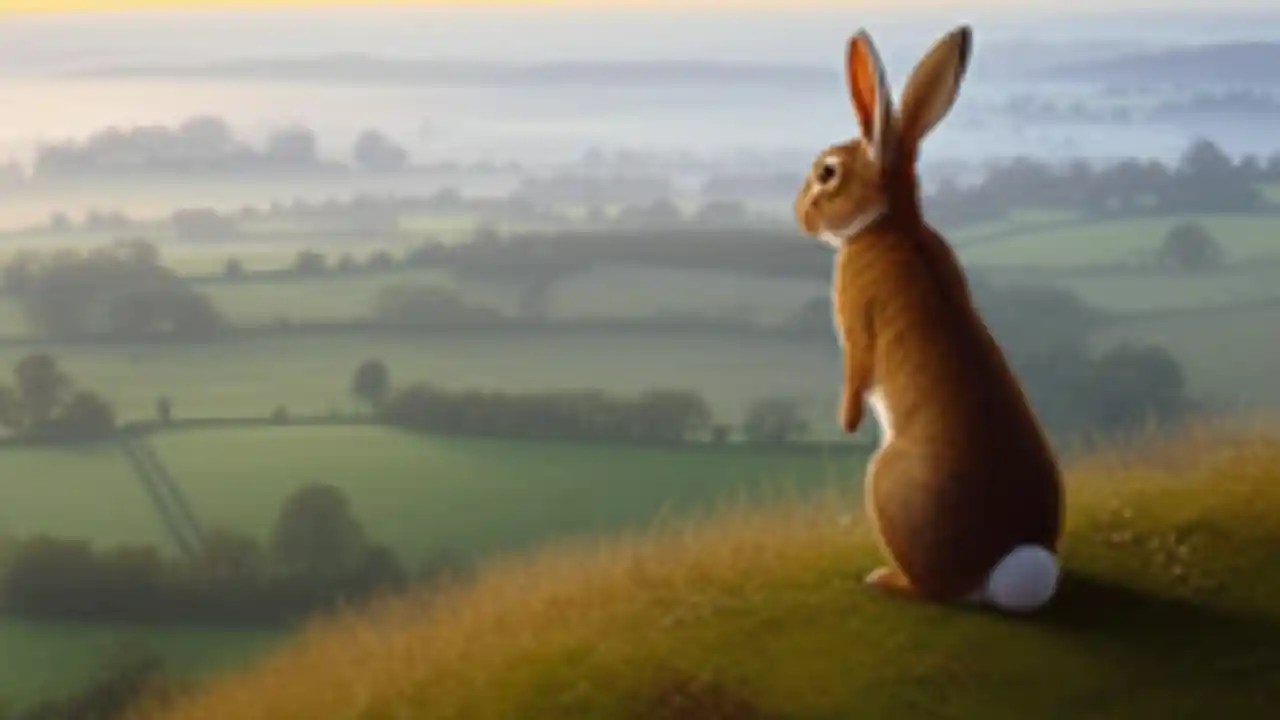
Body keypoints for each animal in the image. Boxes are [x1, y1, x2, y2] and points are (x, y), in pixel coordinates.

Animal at [793, 26, 1063, 613]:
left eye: (828, 172)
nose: (801, 216)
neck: (889, 222)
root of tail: (1001, 570)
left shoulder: (856, 323)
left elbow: (856, 369)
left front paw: (846, 422)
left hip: (887, 484)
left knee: (933, 590)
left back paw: (884, 579)